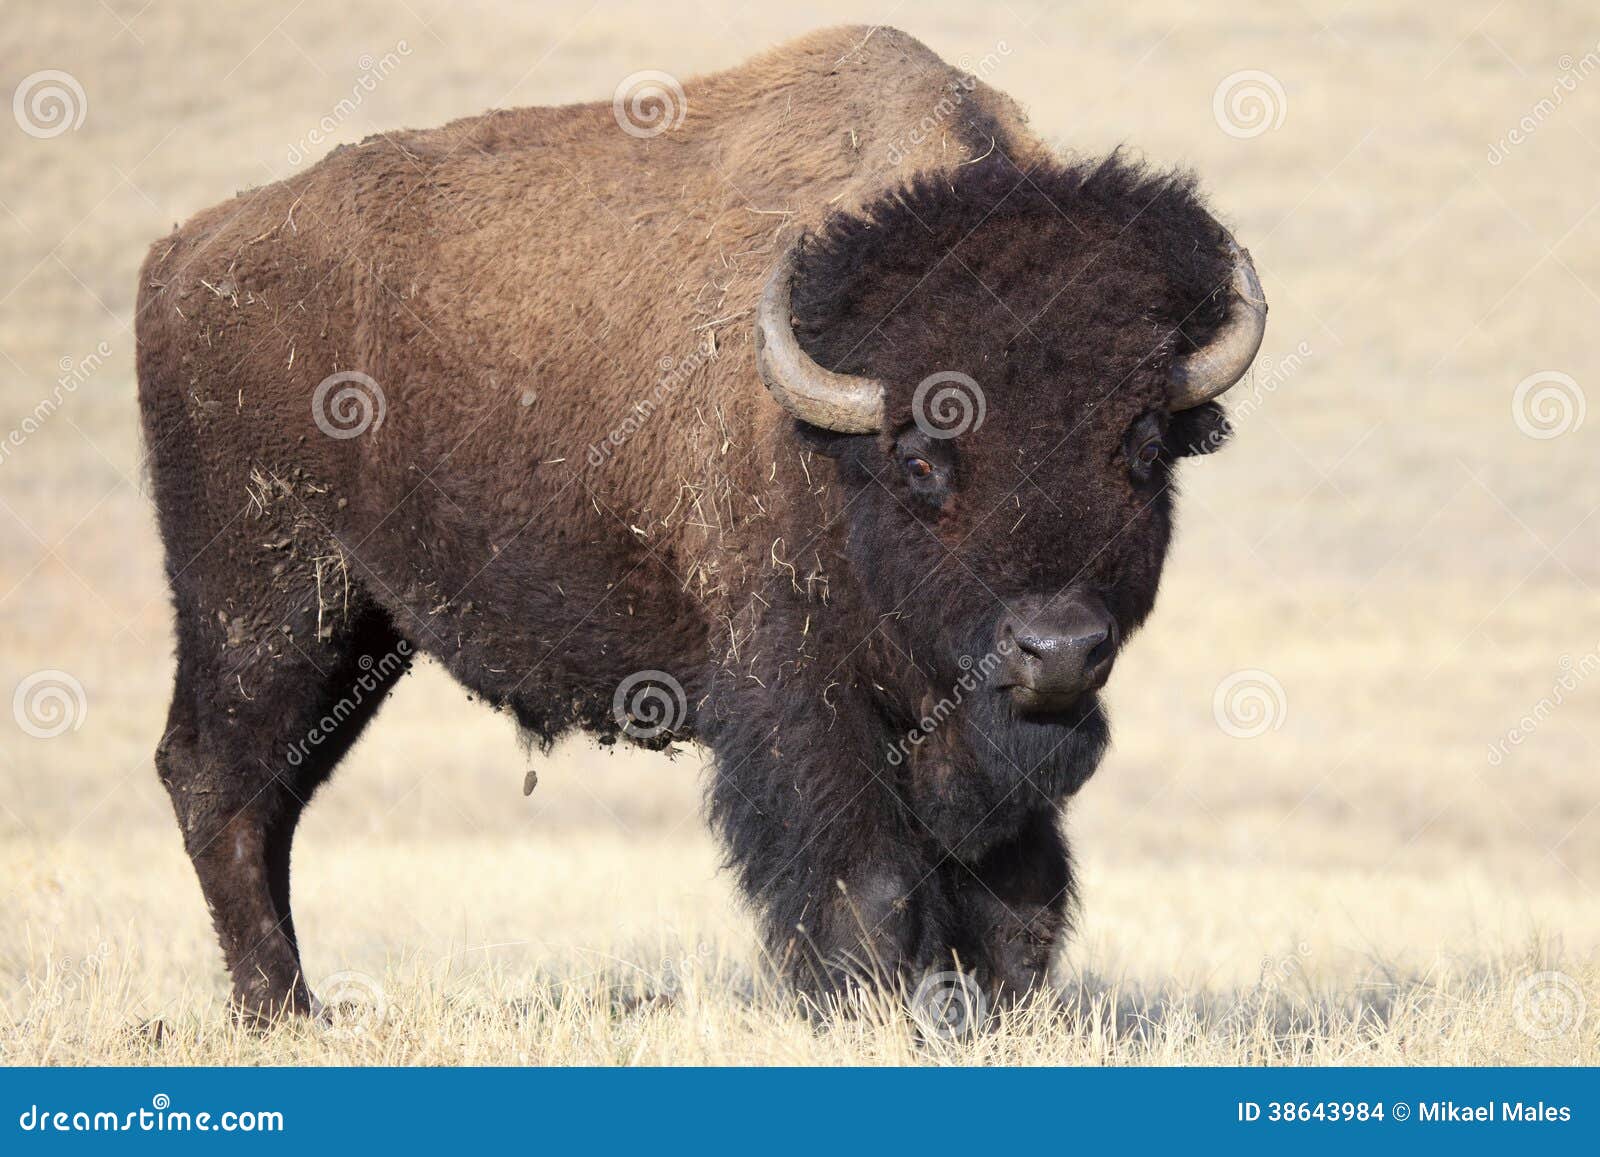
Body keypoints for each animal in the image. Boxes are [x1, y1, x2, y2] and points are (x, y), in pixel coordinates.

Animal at [136, 25, 1264, 1021]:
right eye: (921, 458)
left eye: (1141, 446)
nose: (1056, 647)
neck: (833, 443)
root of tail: (184, 256)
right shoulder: (802, 694)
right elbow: (870, 884)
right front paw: (862, 1008)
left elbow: (1018, 891)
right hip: (269, 605)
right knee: (217, 780)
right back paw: (283, 1010)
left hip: (359, 634)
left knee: (269, 795)